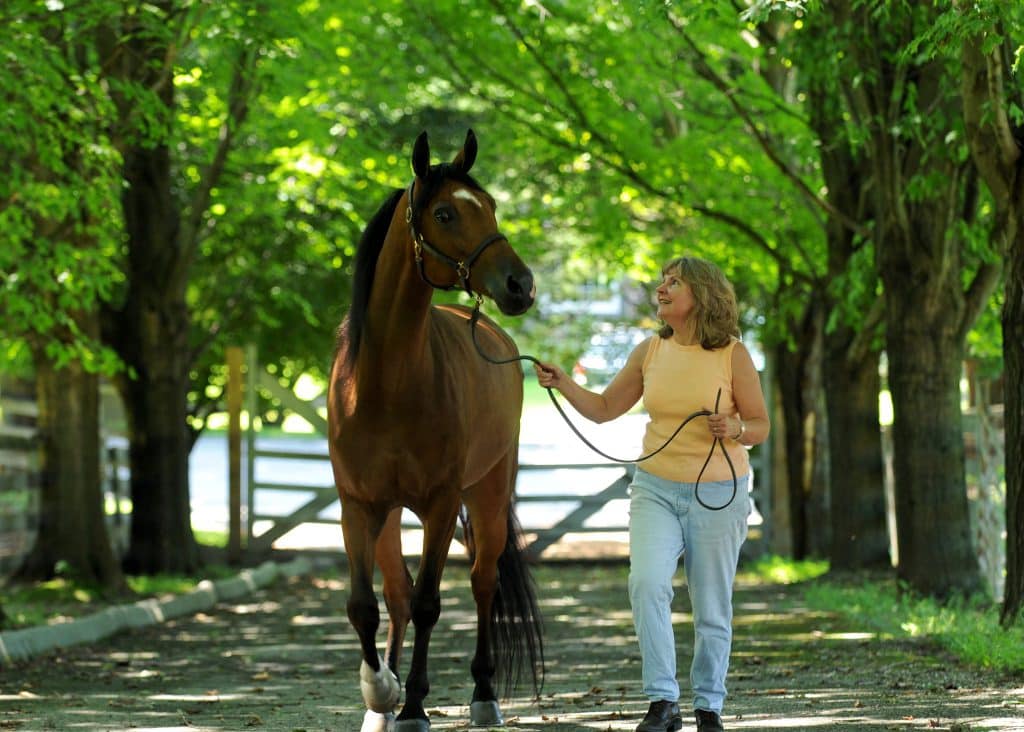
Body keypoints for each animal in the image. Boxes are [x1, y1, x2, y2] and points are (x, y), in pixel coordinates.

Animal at [327, 129, 544, 732]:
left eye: (490, 205)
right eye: (445, 213)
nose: (521, 285)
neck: (387, 383)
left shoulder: (442, 504)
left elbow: (429, 603)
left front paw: (415, 705)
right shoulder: (357, 505)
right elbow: (365, 604)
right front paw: (381, 691)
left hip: (488, 493)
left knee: (482, 580)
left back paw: (484, 694)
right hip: (388, 514)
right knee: (396, 593)